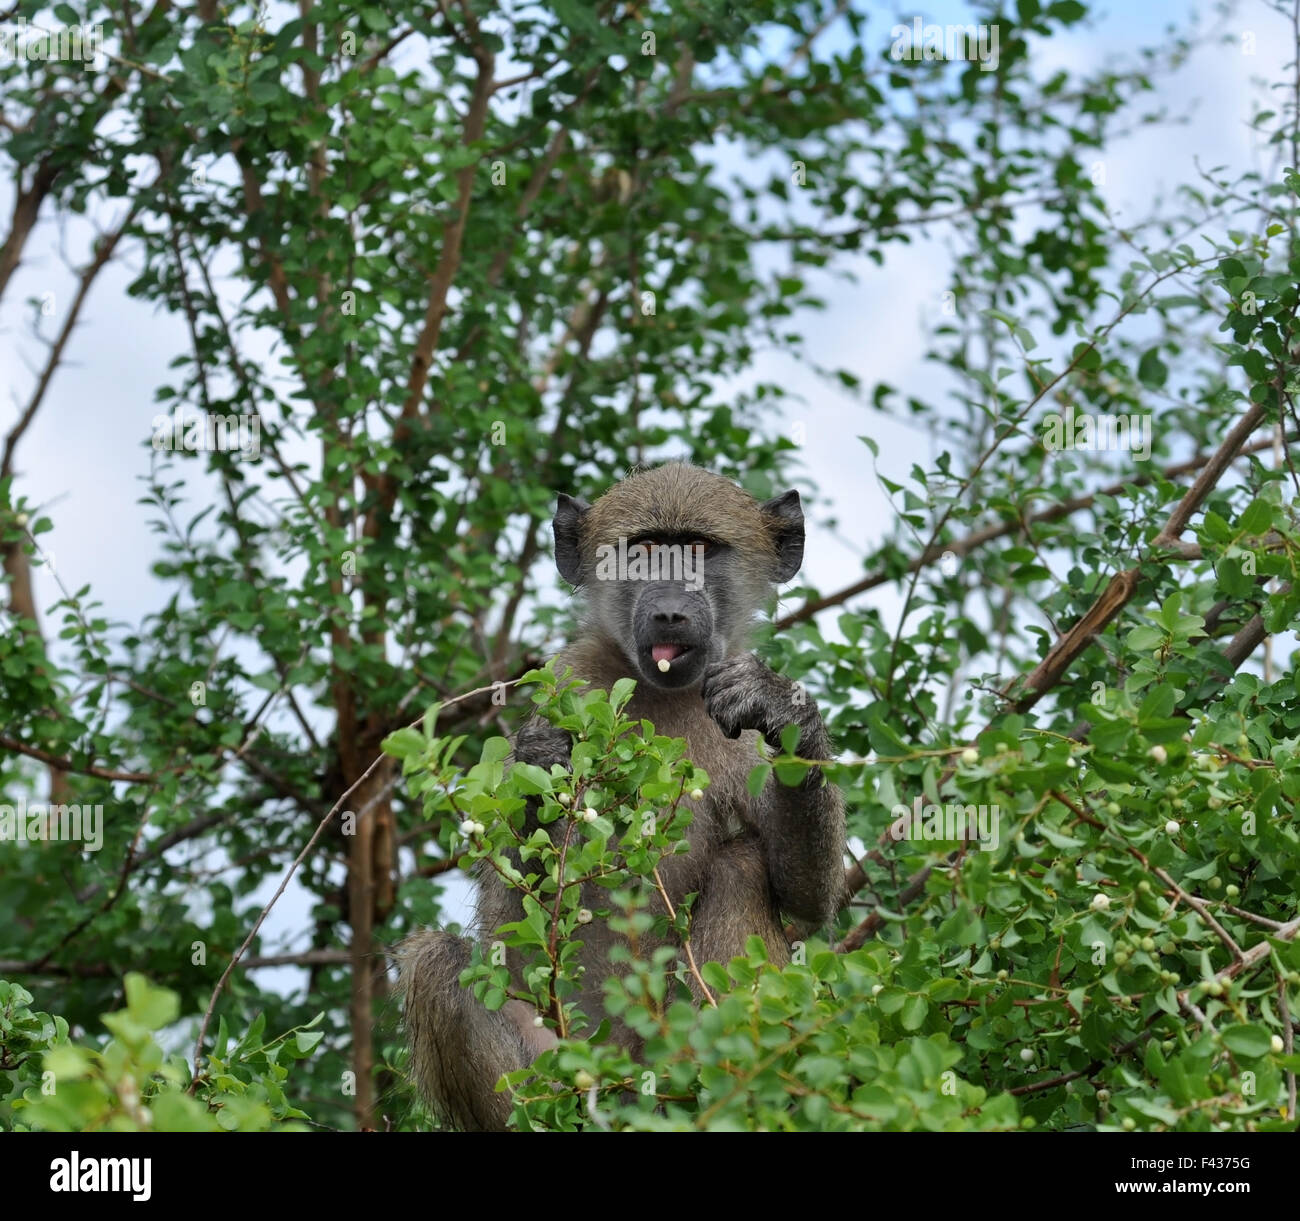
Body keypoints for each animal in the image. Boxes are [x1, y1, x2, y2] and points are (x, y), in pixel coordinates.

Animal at [398, 463, 846, 1130]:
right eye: (645, 551)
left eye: (699, 551)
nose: (670, 614)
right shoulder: (566, 681)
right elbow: (514, 887)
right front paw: (541, 758)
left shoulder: (740, 735)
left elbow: (808, 897)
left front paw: (785, 710)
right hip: (550, 1060)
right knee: (438, 961)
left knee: (739, 864)